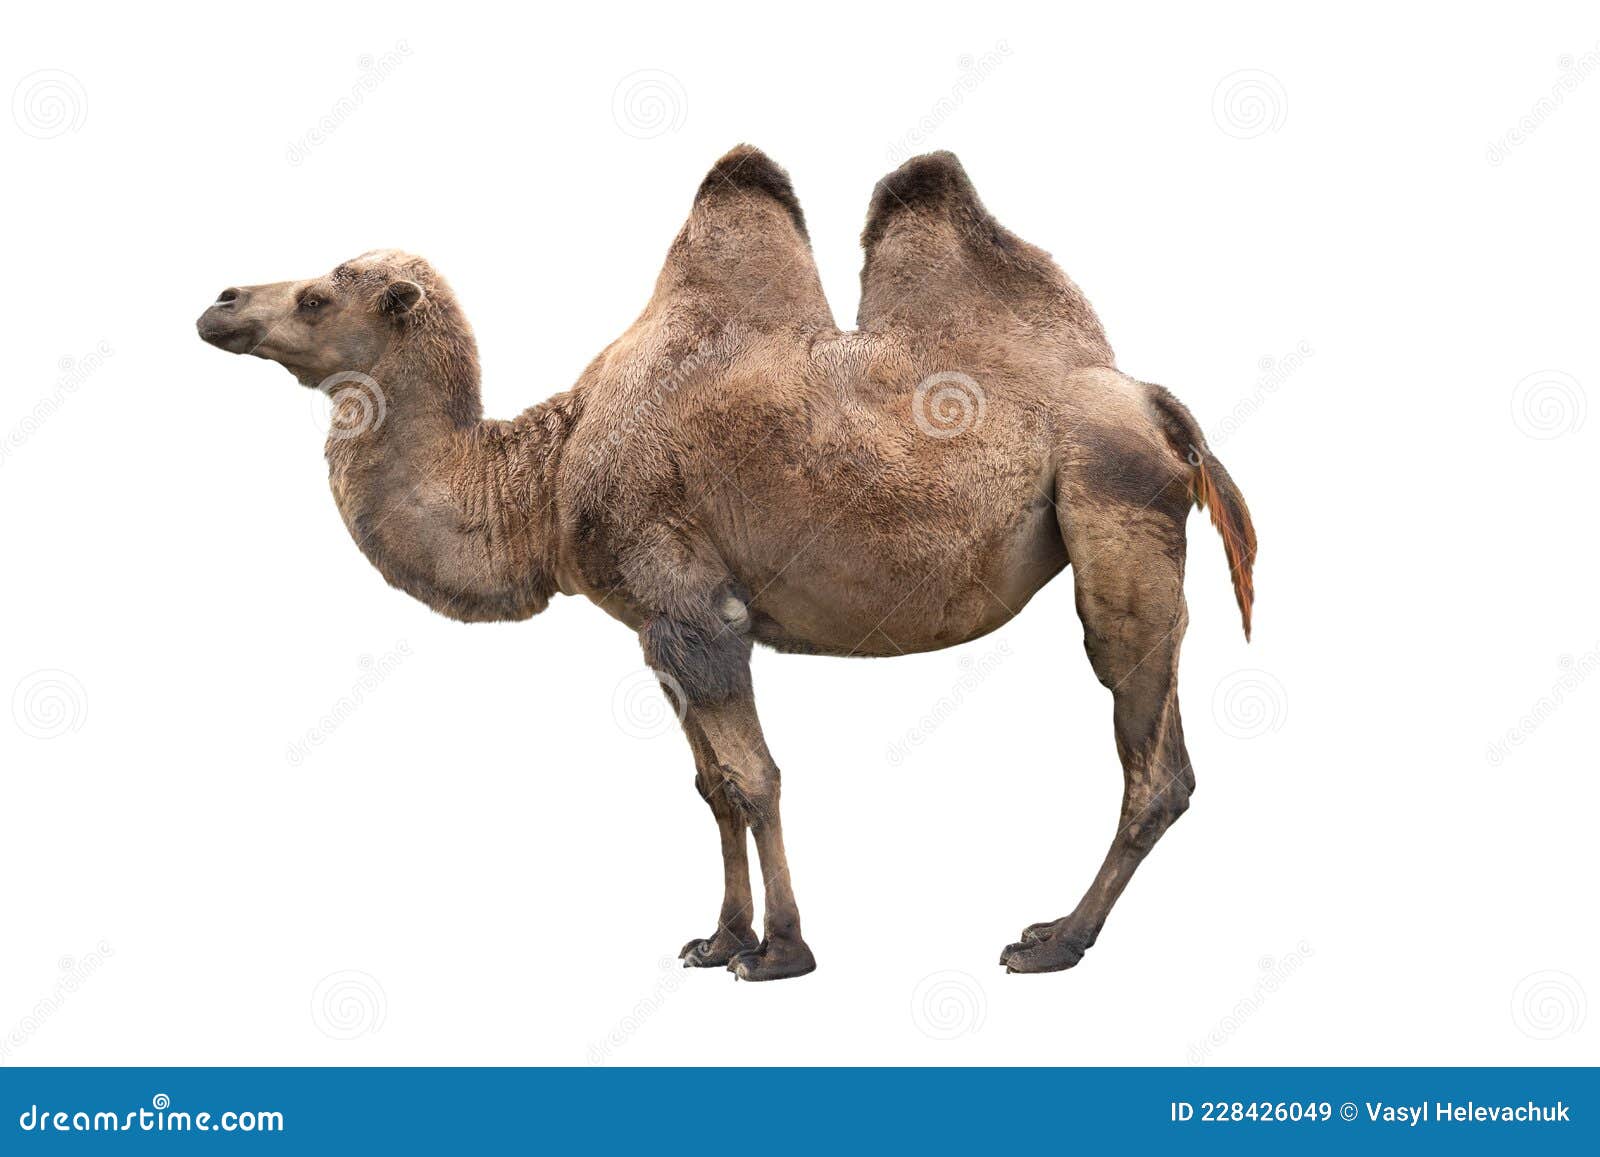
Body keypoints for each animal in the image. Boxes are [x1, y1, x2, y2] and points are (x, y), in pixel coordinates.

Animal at [195, 146, 1256, 981]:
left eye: (319, 293)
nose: (220, 300)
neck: (544, 470)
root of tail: (1156, 403)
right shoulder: (655, 628)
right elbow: (712, 789)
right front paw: (718, 939)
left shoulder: (697, 607)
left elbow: (756, 778)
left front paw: (780, 950)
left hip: (1113, 513)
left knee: (1149, 753)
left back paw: (1053, 939)